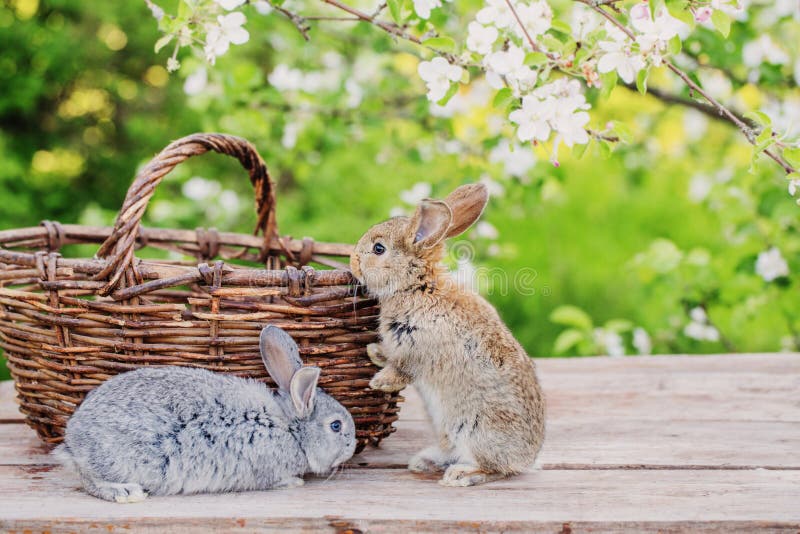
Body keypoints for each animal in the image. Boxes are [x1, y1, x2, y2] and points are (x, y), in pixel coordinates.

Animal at [53, 325, 356, 502]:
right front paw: (294, 482)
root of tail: (73, 440)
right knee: (90, 481)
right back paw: (126, 493)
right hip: (120, 460)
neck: (290, 430)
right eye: (336, 426)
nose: (353, 446)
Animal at [350, 183, 545, 487]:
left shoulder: (417, 352)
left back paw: (460, 475)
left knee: (495, 469)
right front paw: (374, 352)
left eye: (378, 249)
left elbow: (402, 371)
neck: (416, 287)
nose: (351, 260)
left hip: (476, 433)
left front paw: (379, 382)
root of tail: (527, 458)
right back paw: (425, 462)